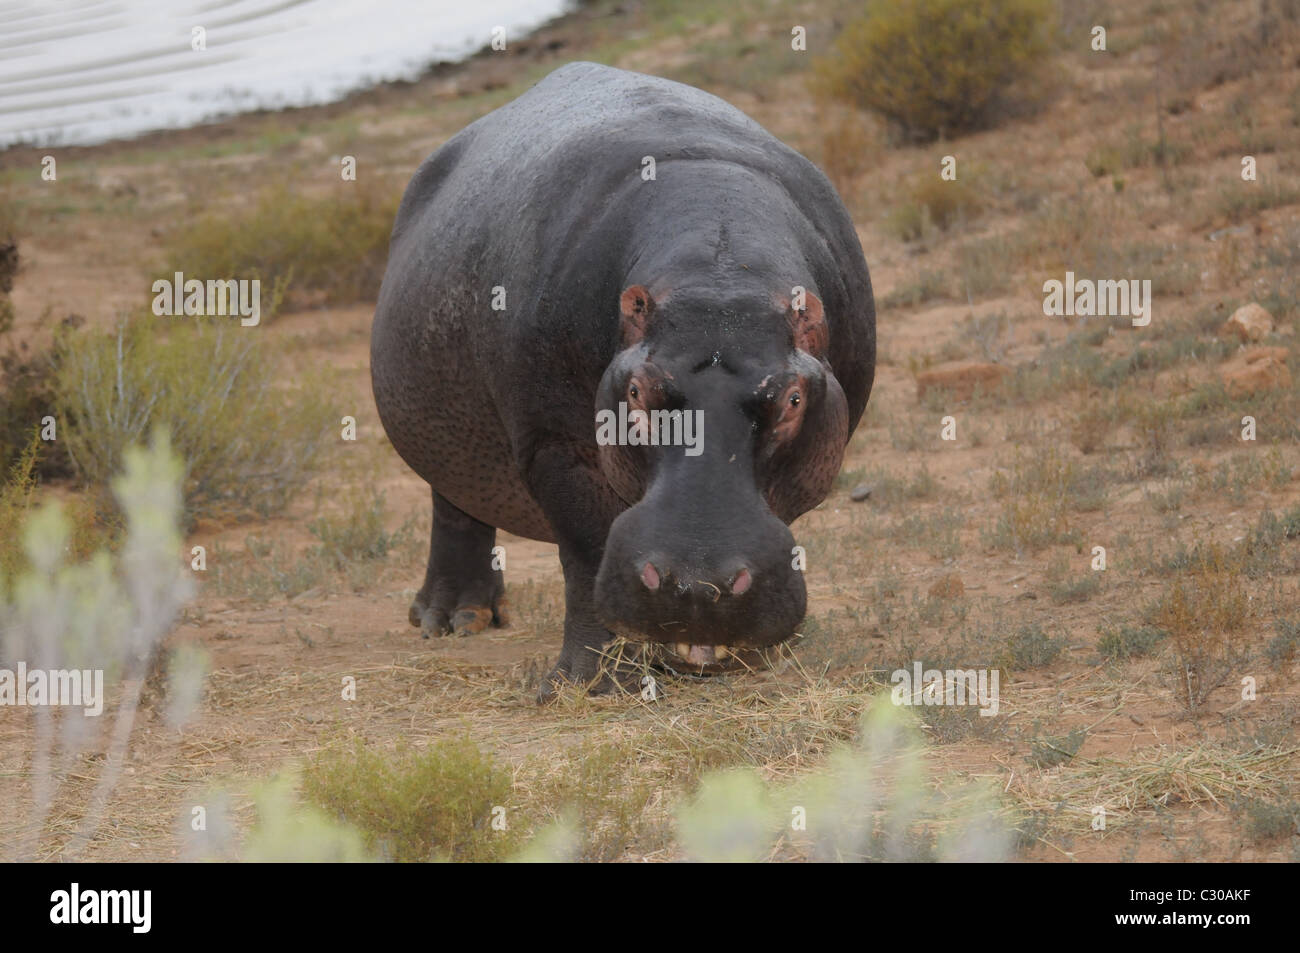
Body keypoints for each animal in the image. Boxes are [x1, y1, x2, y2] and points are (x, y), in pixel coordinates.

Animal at [371, 62, 875, 701]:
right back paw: (451, 620)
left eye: (792, 398)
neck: (718, 272)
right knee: (454, 502)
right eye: (635, 392)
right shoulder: (554, 446)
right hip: (446, 422)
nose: (695, 585)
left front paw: (718, 660)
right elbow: (586, 550)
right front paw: (591, 684)